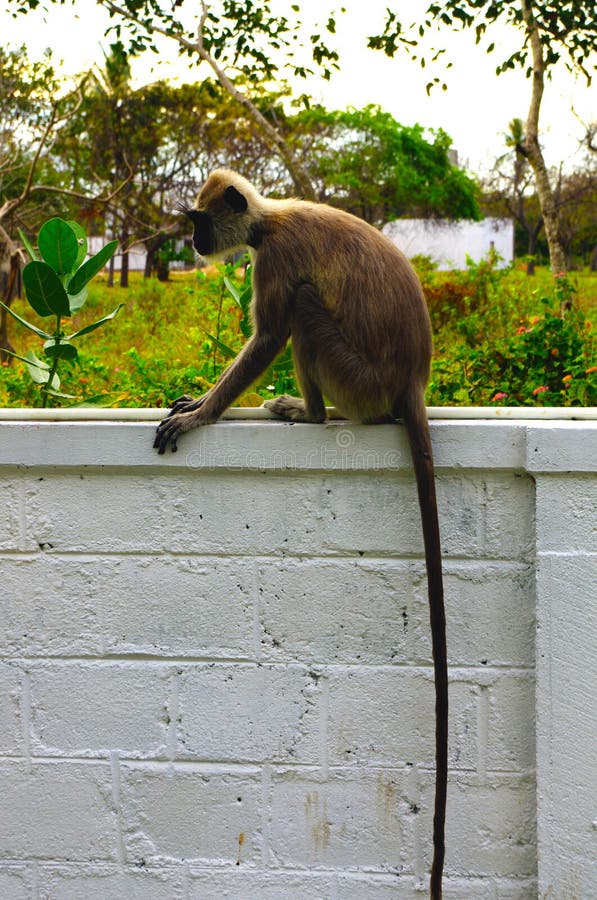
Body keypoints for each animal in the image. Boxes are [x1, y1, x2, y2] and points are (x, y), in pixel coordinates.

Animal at [154, 169, 448, 898]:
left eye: (199, 221)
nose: (193, 242)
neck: (269, 220)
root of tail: (411, 376)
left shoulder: (275, 260)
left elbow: (266, 338)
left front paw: (200, 415)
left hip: (356, 375)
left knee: (306, 311)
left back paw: (309, 414)